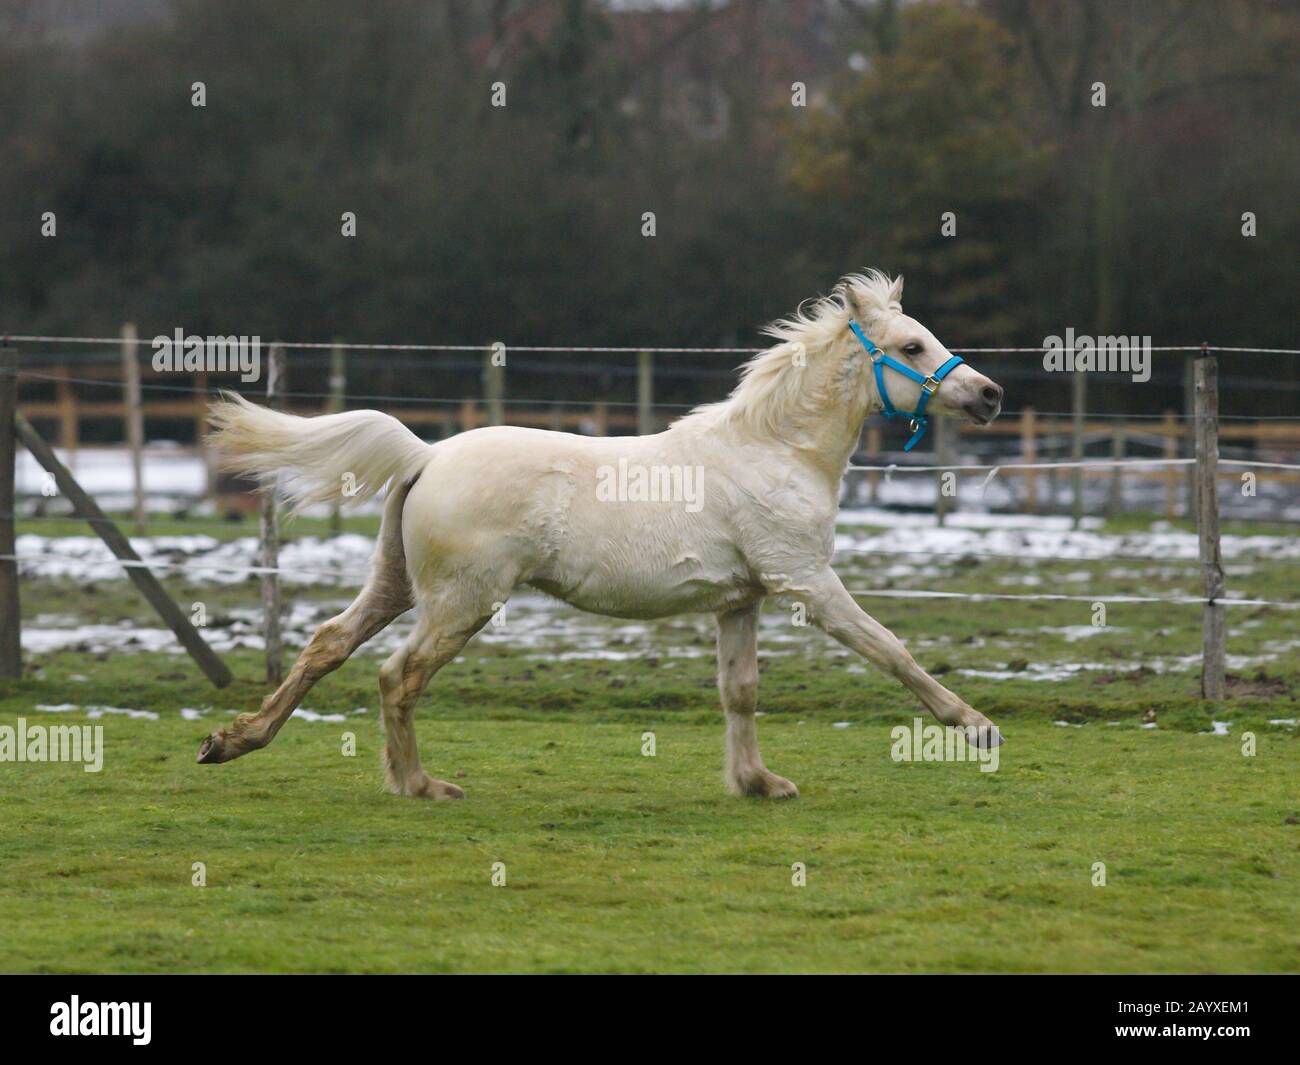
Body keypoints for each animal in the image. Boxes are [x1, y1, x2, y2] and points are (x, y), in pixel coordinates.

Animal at [197, 271, 1005, 799]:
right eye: (914, 345)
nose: (990, 395)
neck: (776, 450)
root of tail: (426, 455)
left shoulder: (741, 599)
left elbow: (739, 691)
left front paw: (757, 781)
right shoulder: (806, 581)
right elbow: (891, 650)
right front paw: (976, 728)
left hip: (397, 585)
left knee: (328, 645)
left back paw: (231, 741)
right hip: (462, 602)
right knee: (400, 676)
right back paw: (421, 785)